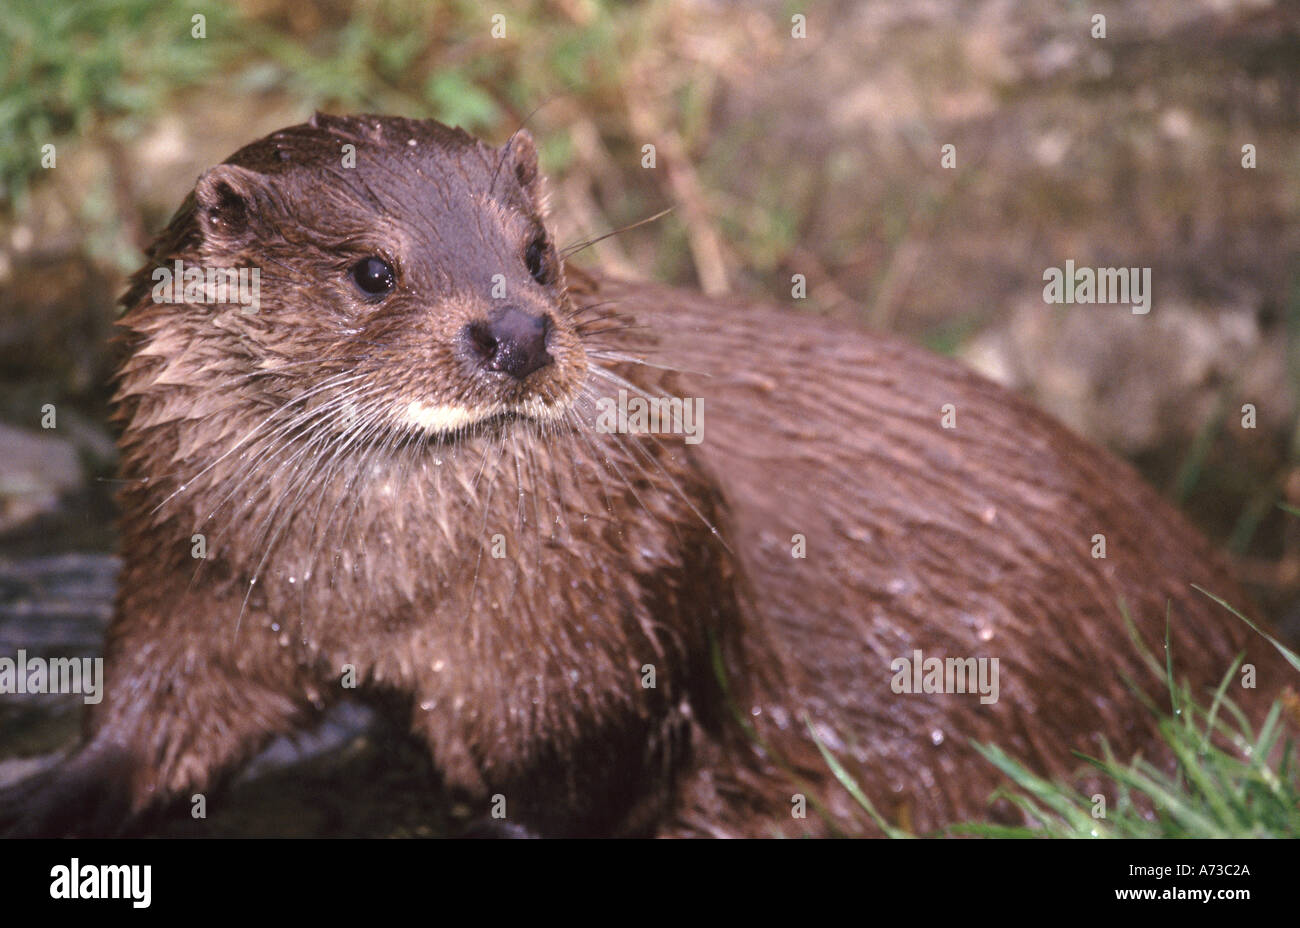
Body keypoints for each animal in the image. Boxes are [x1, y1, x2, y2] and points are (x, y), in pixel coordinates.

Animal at [1, 112, 1289, 837]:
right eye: (371, 270)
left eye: (537, 252)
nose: (516, 330)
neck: (378, 596)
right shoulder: (194, 582)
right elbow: (149, 725)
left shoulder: (626, 607)